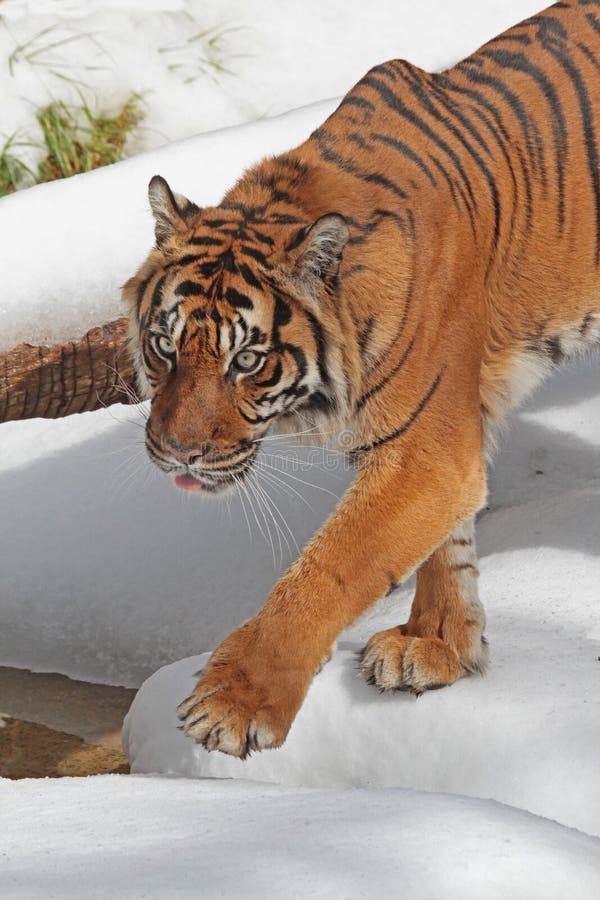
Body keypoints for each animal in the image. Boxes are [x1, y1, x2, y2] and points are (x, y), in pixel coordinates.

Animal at [123, 0, 600, 758]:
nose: (178, 453)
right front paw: (438, 647)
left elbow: (328, 569)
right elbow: (446, 548)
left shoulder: (424, 451)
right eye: (165, 346)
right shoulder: (441, 437)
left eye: (247, 361)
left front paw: (233, 703)